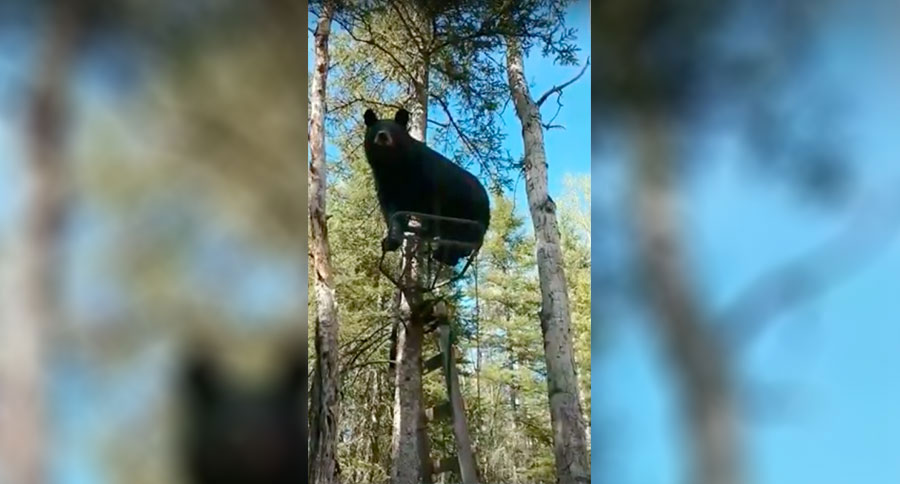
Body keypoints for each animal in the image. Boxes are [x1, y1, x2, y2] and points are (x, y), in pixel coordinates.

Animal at [363, 107, 490, 267]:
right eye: (375, 128)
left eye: (394, 129)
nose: (382, 135)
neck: (394, 166)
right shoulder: (386, 184)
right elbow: (392, 212)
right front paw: (391, 240)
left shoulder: (428, 177)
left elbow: (434, 205)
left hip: (468, 211)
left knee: (461, 236)